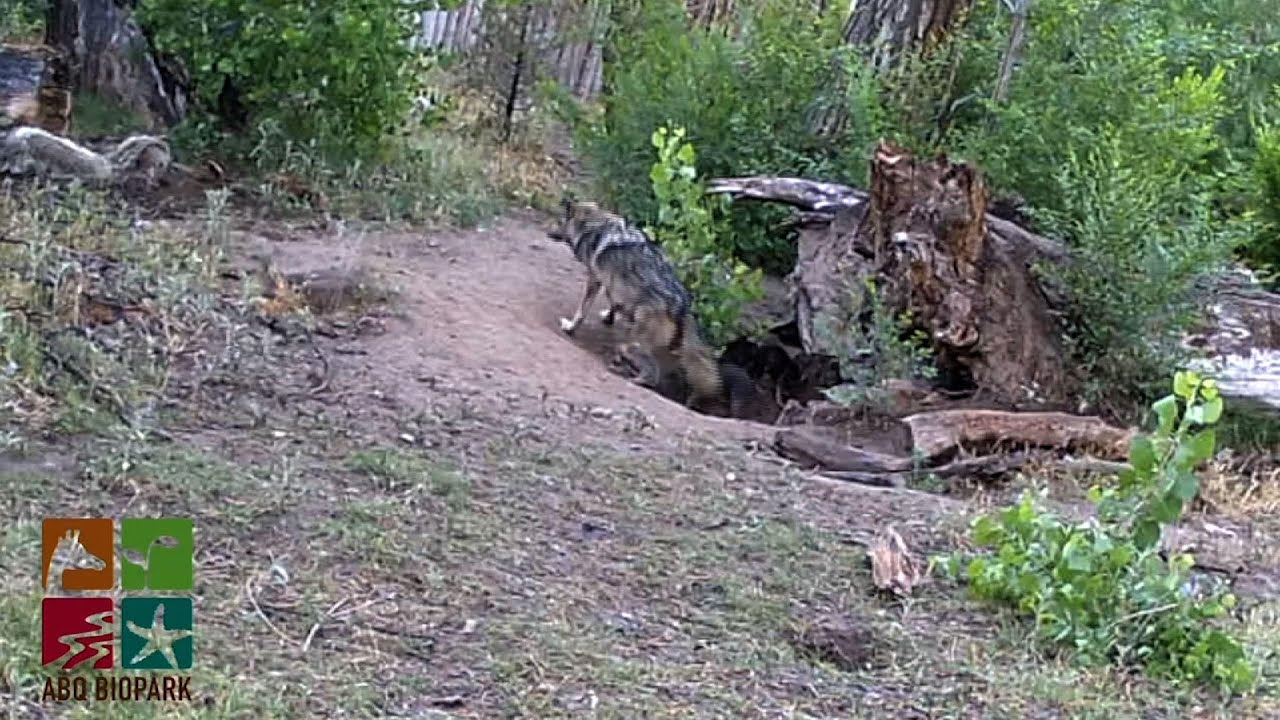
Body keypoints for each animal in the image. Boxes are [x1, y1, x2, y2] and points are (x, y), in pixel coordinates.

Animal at [547, 198, 755, 418]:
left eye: (557, 220)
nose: (546, 230)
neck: (594, 226)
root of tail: (683, 305)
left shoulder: (595, 279)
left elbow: (582, 310)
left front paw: (570, 327)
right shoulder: (616, 283)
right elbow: (614, 303)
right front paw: (609, 317)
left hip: (635, 343)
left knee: (652, 376)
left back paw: (632, 378)